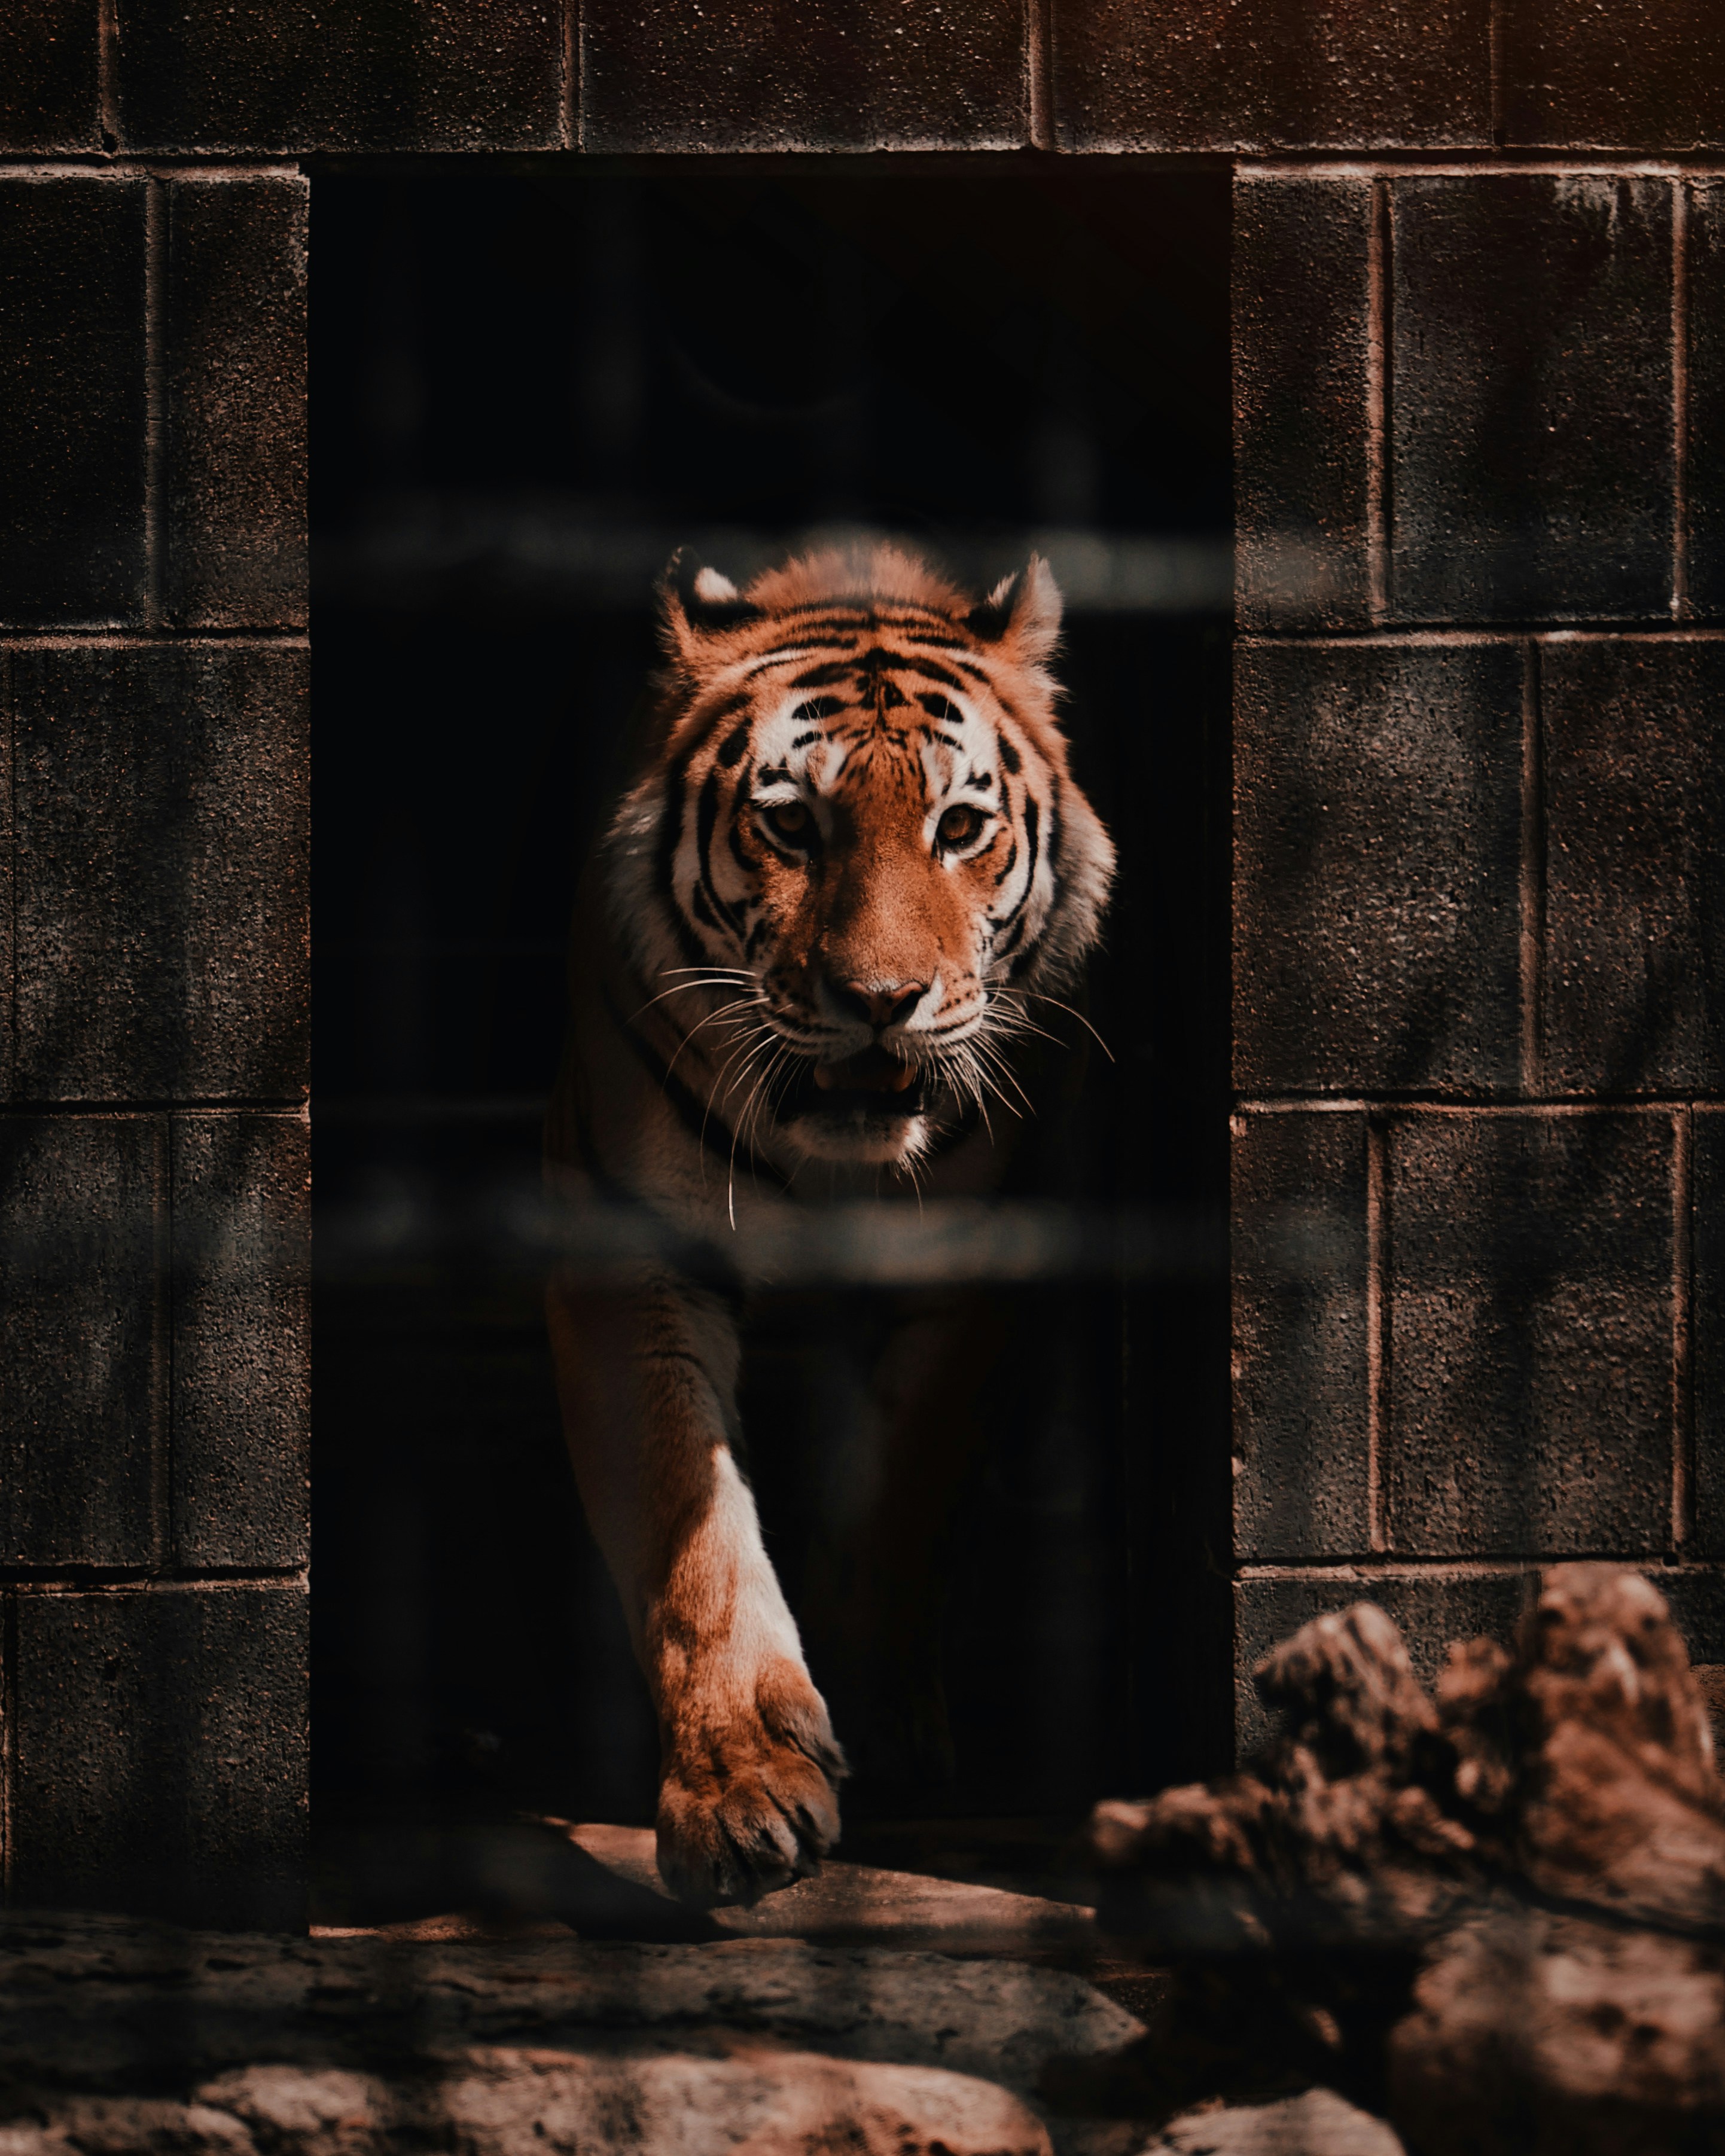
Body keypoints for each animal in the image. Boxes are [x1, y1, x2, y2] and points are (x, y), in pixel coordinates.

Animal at [544, 541, 1115, 1907]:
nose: (879, 999)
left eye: (957, 826)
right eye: (790, 822)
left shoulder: (962, 1271)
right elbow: (692, 1537)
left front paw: (884, 1721)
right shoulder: (630, 1260)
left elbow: (894, 1495)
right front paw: (740, 1789)